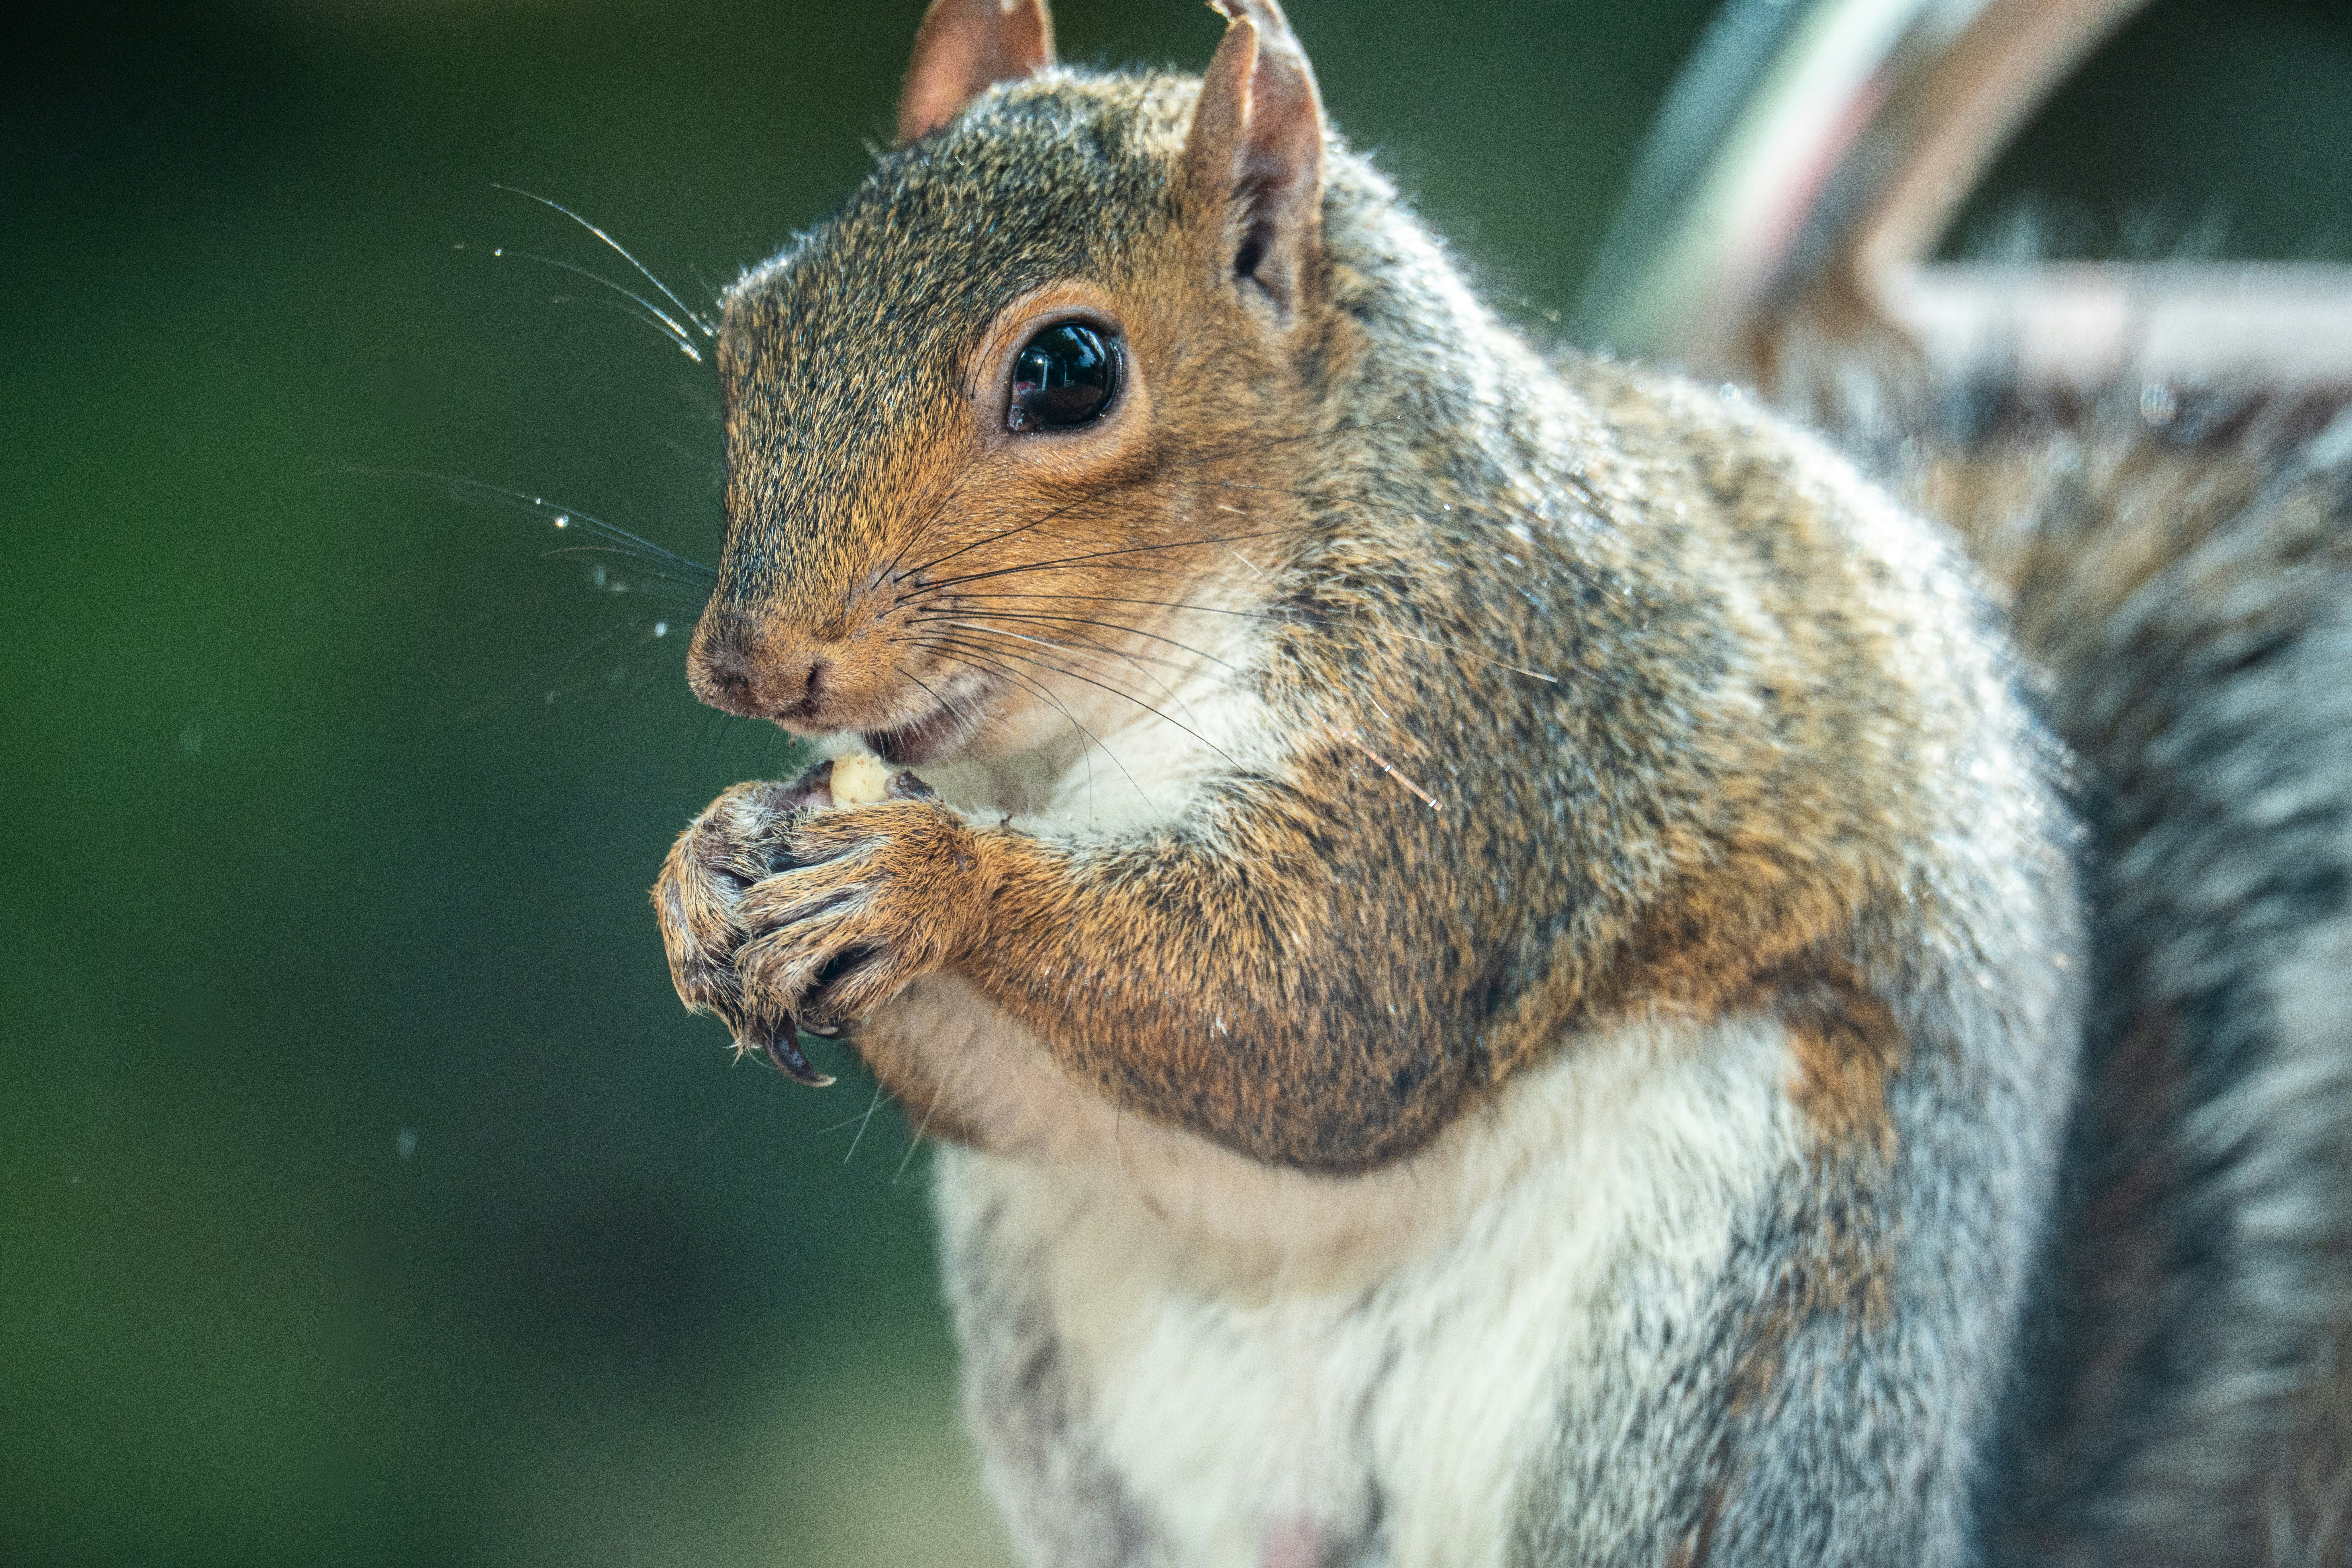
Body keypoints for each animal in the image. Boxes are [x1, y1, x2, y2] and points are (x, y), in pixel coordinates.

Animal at [648, 1, 2352, 1563]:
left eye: (1069, 371)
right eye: (752, 325)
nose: (742, 667)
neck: (1071, 736)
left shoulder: (1482, 744)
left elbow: (1302, 1006)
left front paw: (928, 878)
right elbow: (1003, 1081)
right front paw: (707, 871)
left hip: (1715, 1340)